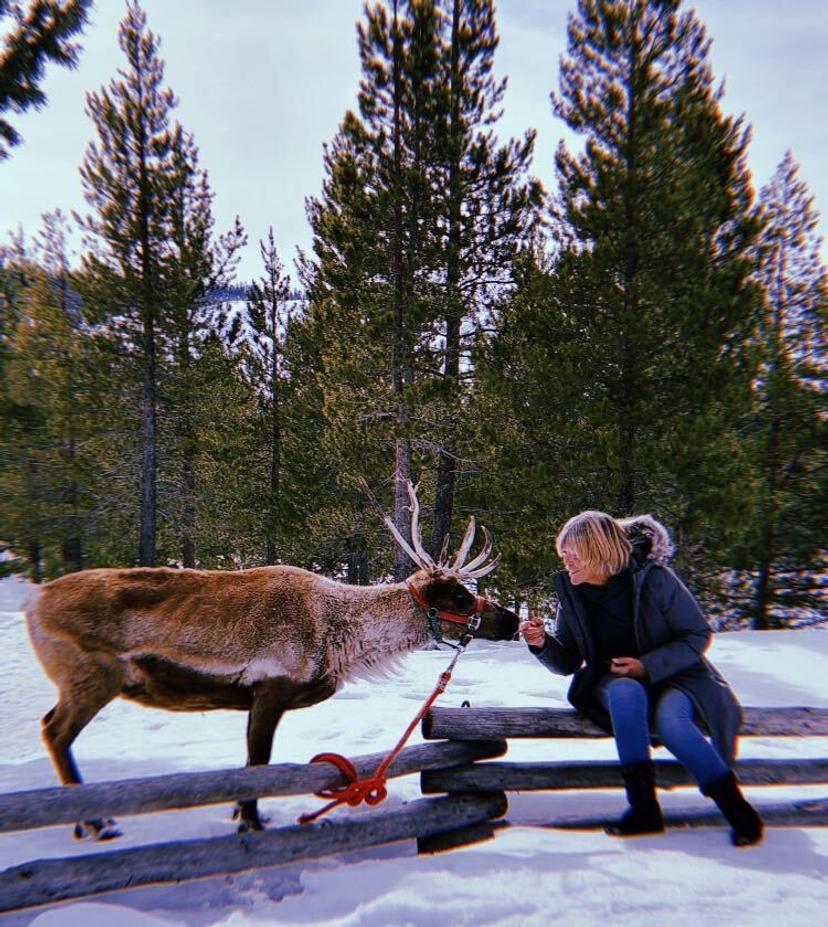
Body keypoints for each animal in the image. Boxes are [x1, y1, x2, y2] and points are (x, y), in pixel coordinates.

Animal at [25, 483, 518, 839]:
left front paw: (240, 814)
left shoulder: (253, 698)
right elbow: (259, 764)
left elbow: (248, 764)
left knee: (50, 726)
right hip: (91, 677)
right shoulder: (272, 689)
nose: (511, 619)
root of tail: (34, 600)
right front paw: (250, 821)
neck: (339, 636)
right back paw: (95, 822)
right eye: (459, 595)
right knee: (55, 731)